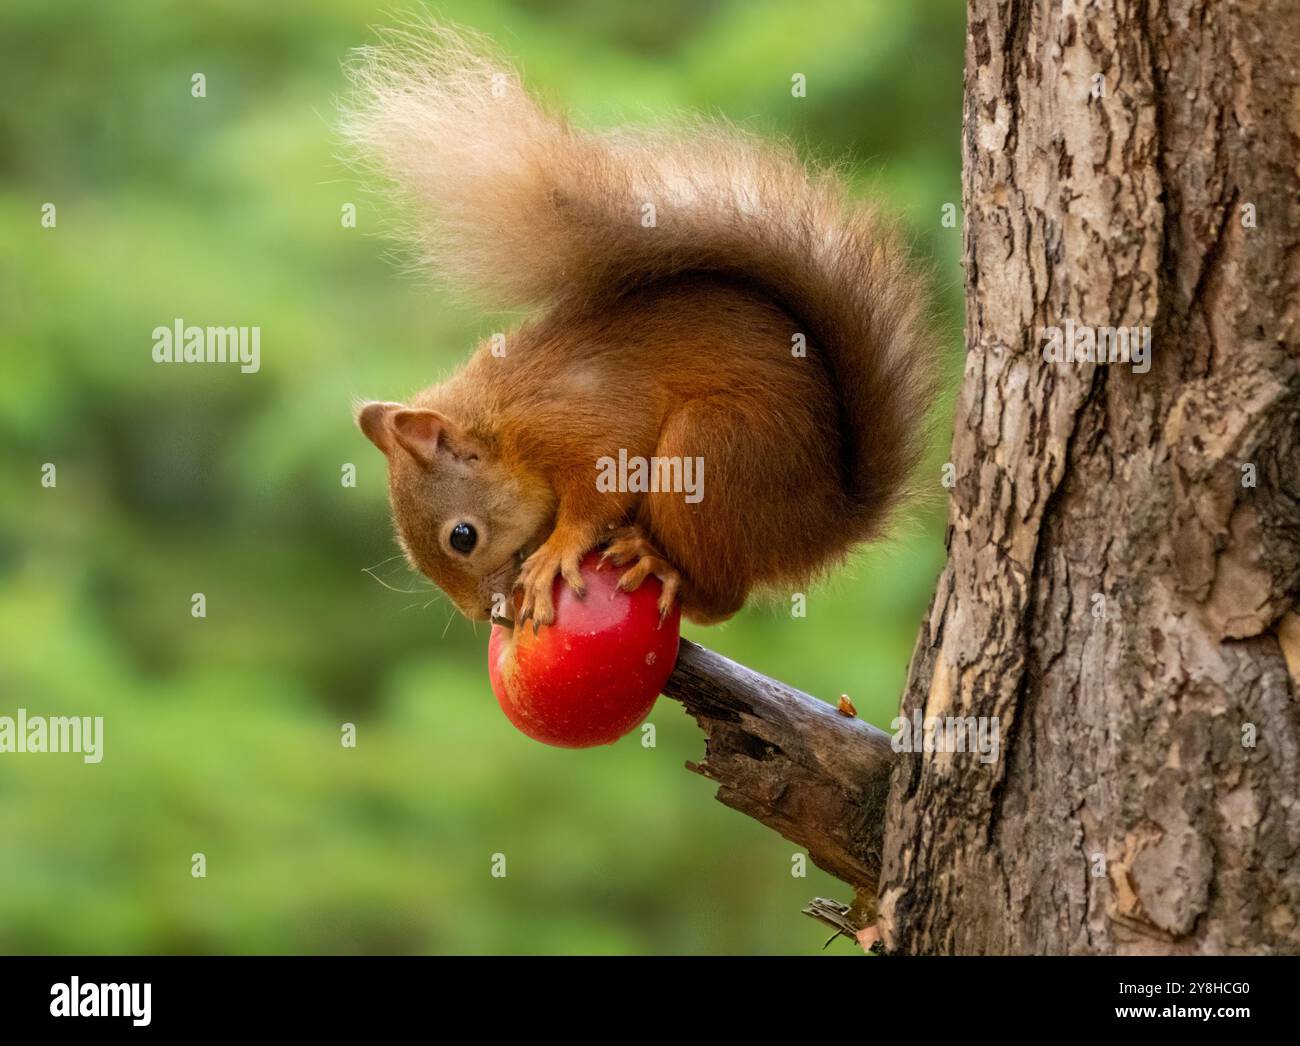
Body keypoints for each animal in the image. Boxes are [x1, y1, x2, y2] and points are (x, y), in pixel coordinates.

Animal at [343, 22, 934, 630]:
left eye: (463, 536)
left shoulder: (578, 422)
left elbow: (598, 489)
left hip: (712, 452)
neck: (500, 421)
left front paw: (557, 549)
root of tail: (820, 527)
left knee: (723, 598)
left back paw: (661, 563)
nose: (490, 614)